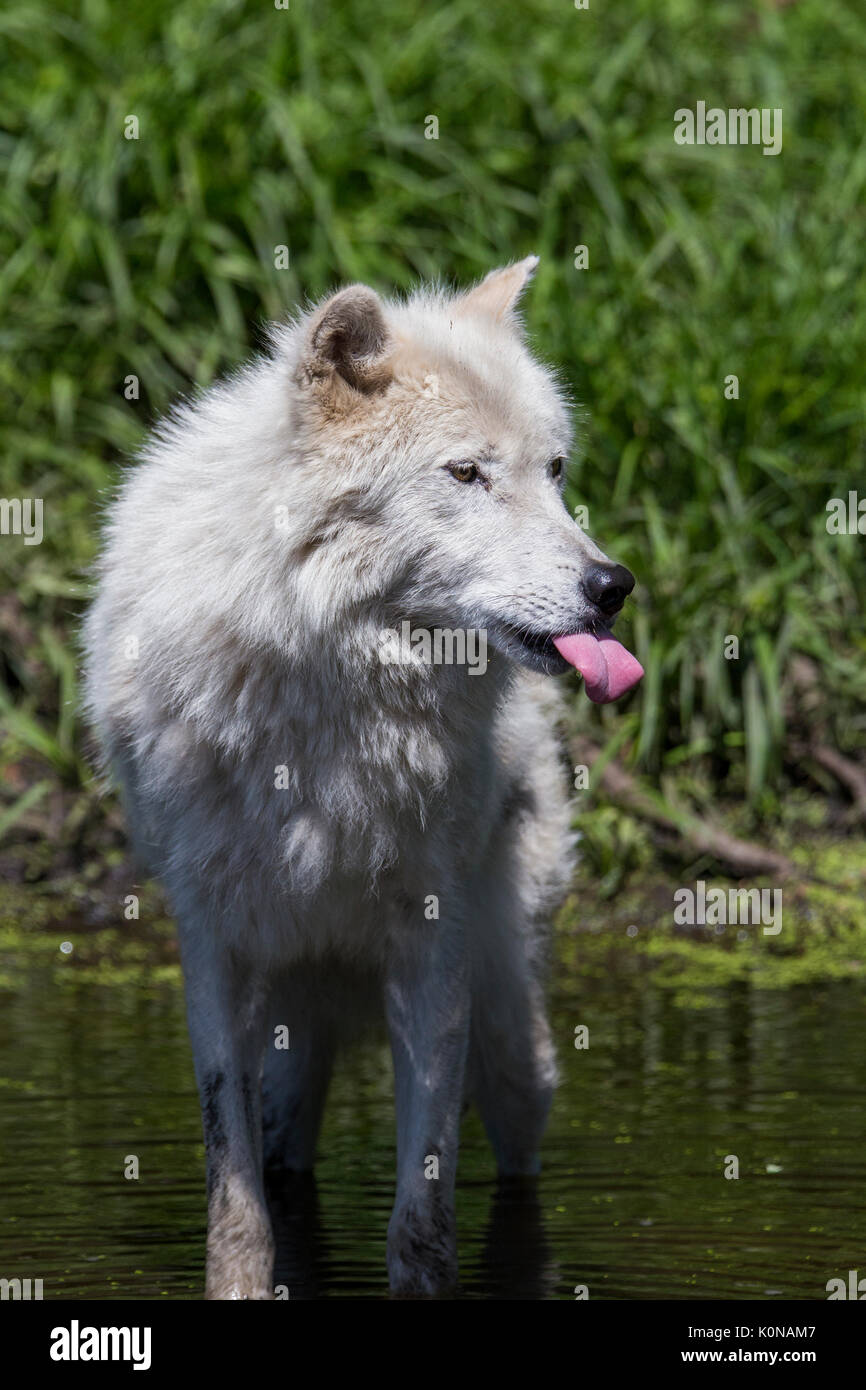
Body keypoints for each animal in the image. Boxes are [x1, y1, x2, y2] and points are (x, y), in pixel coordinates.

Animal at [83, 256, 642, 1299]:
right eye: (466, 474)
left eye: (554, 472)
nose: (613, 587)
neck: (332, 682)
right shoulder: (212, 944)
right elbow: (234, 1201)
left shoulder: (435, 947)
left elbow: (424, 1214)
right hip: (290, 1036)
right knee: (282, 1154)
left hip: (510, 1032)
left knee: (519, 1143)